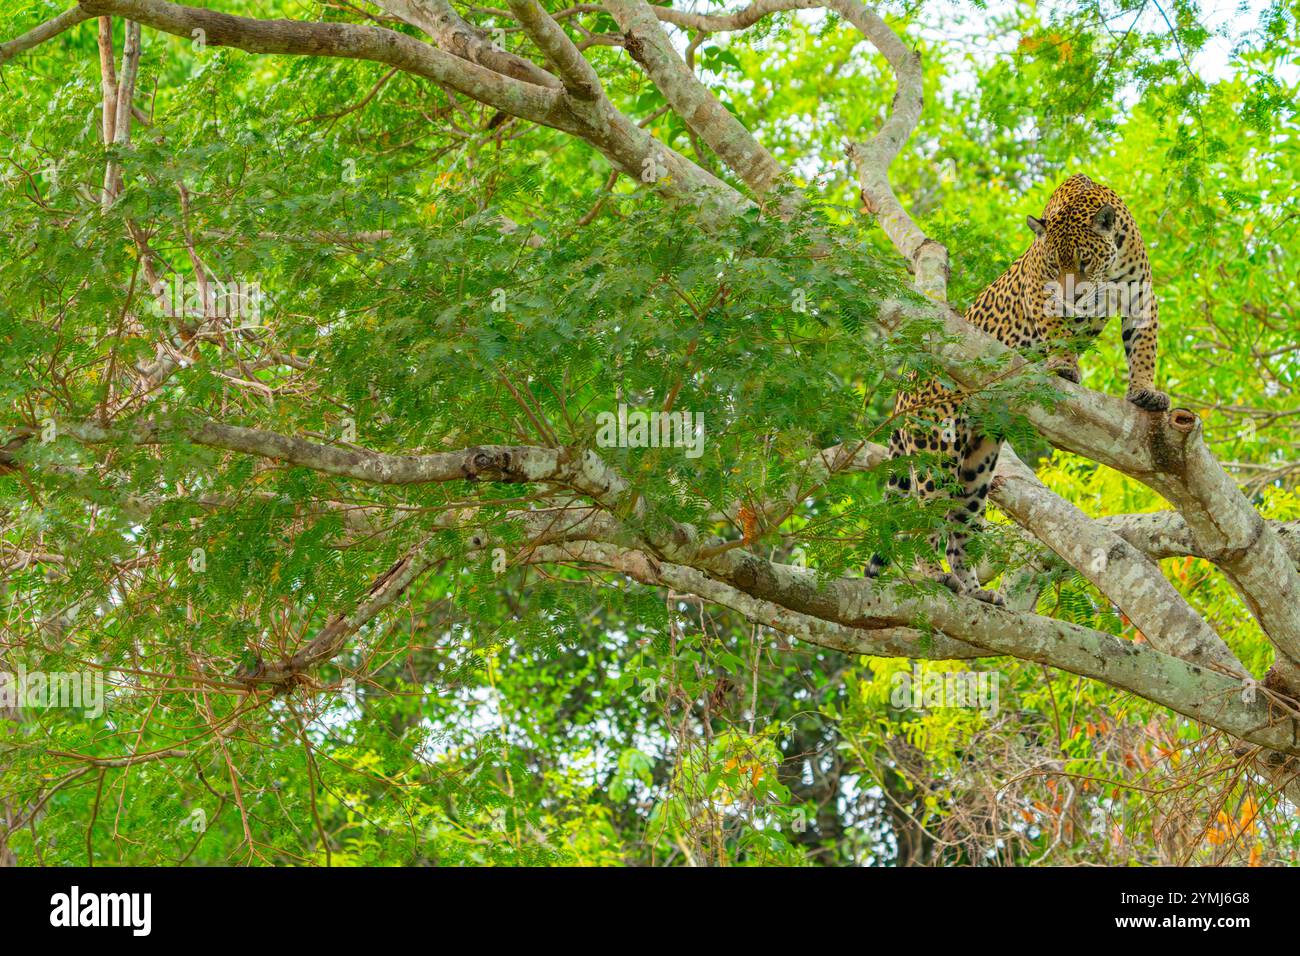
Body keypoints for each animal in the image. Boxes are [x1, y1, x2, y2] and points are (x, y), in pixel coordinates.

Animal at [865, 173, 1170, 606]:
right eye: (1054, 265)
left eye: (1084, 261)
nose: (1074, 296)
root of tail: (905, 388)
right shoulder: (1040, 290)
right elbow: (1057, 331)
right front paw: (1064, 367)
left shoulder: (1141, 295)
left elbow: (1144, 348)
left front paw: (1145, 392)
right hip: (935, 450)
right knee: (920, 521)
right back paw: (934, 576)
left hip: (976, 465)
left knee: (959, 530)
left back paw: (975, 591)